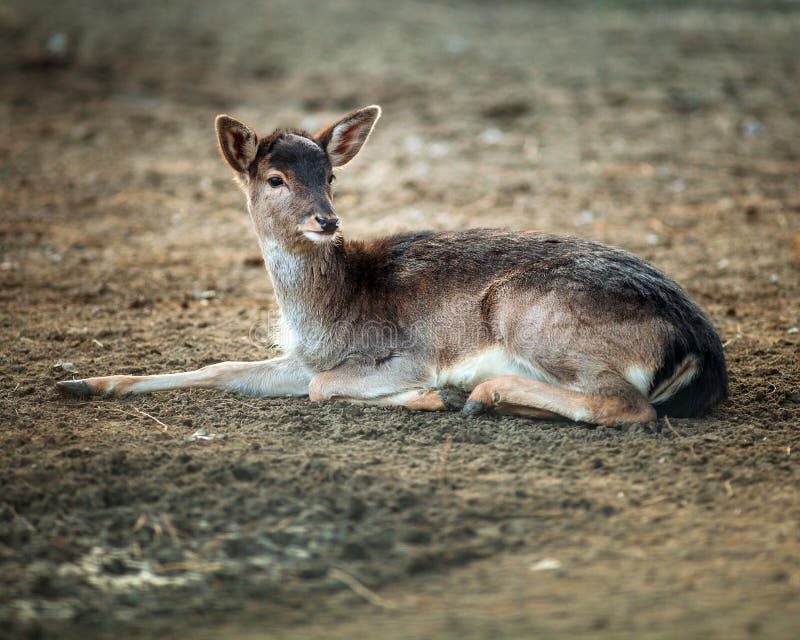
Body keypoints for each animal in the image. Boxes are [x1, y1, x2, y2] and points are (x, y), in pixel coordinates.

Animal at [57, 105, 728, 426]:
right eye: (275, 178)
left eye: (330, 176)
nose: (327, 221)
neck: (324, 318)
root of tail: (700, 344)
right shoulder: (305, 357)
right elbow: (222, 368)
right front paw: (81, 382)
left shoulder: (405, 352)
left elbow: (324, 389)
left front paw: (427, 397)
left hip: (533, 317)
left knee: (629, 406)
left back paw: (480, 394)